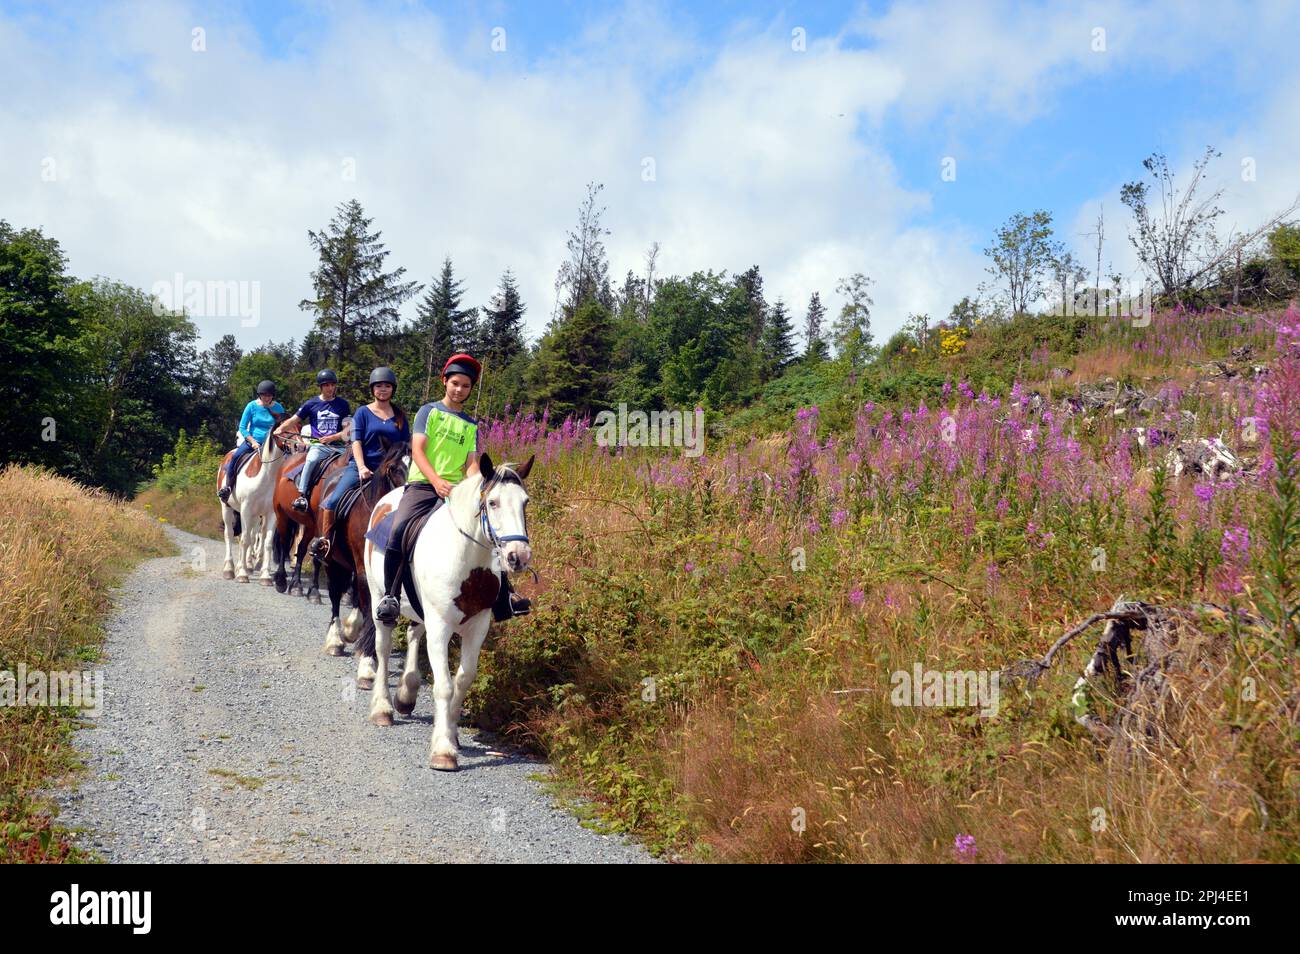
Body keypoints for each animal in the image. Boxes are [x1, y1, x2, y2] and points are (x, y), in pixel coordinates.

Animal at [361, 452, 533, 774]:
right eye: (493, 503)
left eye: (525, 502)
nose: (519, 556)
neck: (467, 560)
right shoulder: (441, 626)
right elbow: (443, 686)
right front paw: (443, 751)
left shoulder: (478, 625)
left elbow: (463, 680)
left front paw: (452, 735)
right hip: (381, 600)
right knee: (383, 647)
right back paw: (383, 708)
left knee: (413, 633)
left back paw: (406, 694)